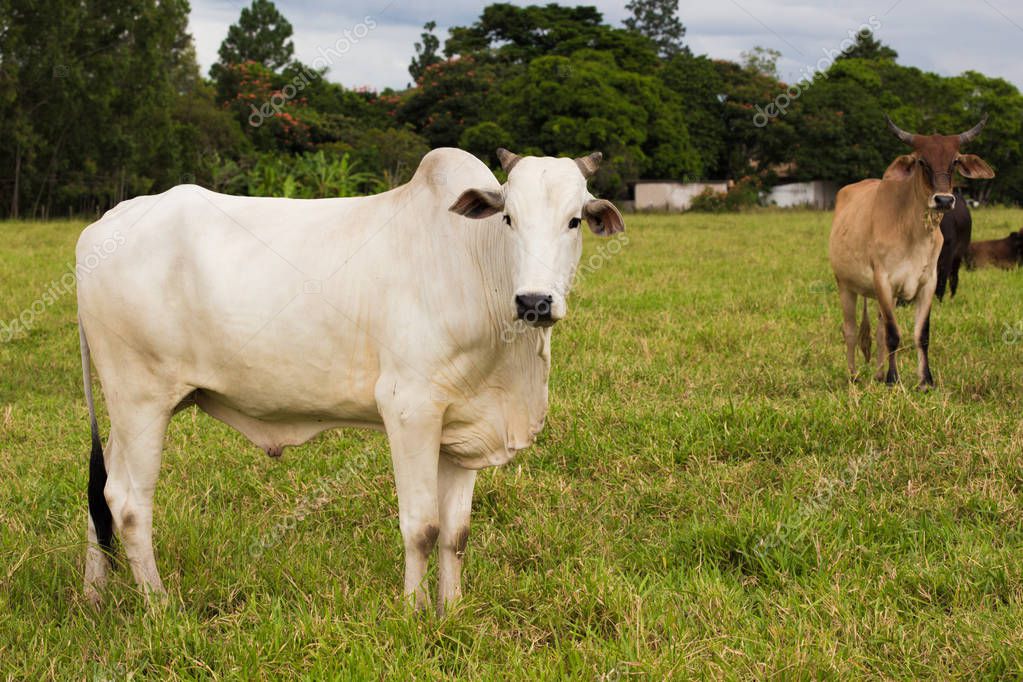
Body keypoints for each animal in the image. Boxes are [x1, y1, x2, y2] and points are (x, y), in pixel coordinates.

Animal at [78, 147, 625, 613]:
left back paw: (96, 597)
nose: (534, 301)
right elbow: (422, 527)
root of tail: (103, 226)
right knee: (128, 502)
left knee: (103, 492)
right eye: (509, 218)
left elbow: (456, 533)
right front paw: (414, 614)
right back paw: (159, 606)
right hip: (142, 400)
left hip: (128, 410)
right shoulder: (408, 409)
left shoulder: (464, 423)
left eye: (574, 220)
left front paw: (452, 612)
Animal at [828, 115, 993, 388]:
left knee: (879, 330)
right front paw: (893, 379)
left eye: (955, 161)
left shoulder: (928, 283)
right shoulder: (884, 281)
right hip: (845, 285)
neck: (913, 231)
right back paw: (853, 375)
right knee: (850, 330)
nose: (944, 200)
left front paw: (925, 380)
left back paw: (877, 373)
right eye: (921, 161)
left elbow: (920, 334)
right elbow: (894, 335)